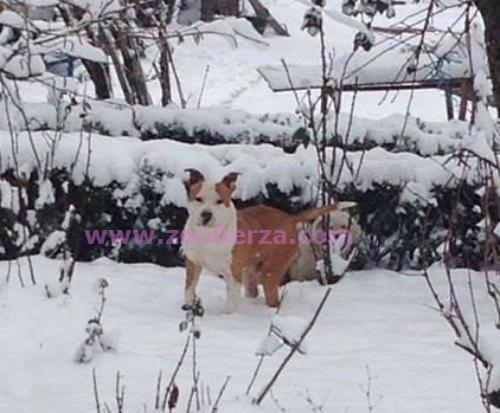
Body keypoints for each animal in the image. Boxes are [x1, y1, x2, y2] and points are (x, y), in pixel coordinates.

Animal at [184, 167, 348, 308]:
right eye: (198, 199)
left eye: (219, 201)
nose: (206, 214)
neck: (208, 235)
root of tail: (289, 217)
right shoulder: (193, 265)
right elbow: (189, 289)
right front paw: (188, 307)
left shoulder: (233, 275)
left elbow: (231, 305)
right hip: (250, 270)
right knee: (253, 289)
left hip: (272, 269)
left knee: (272, 297)